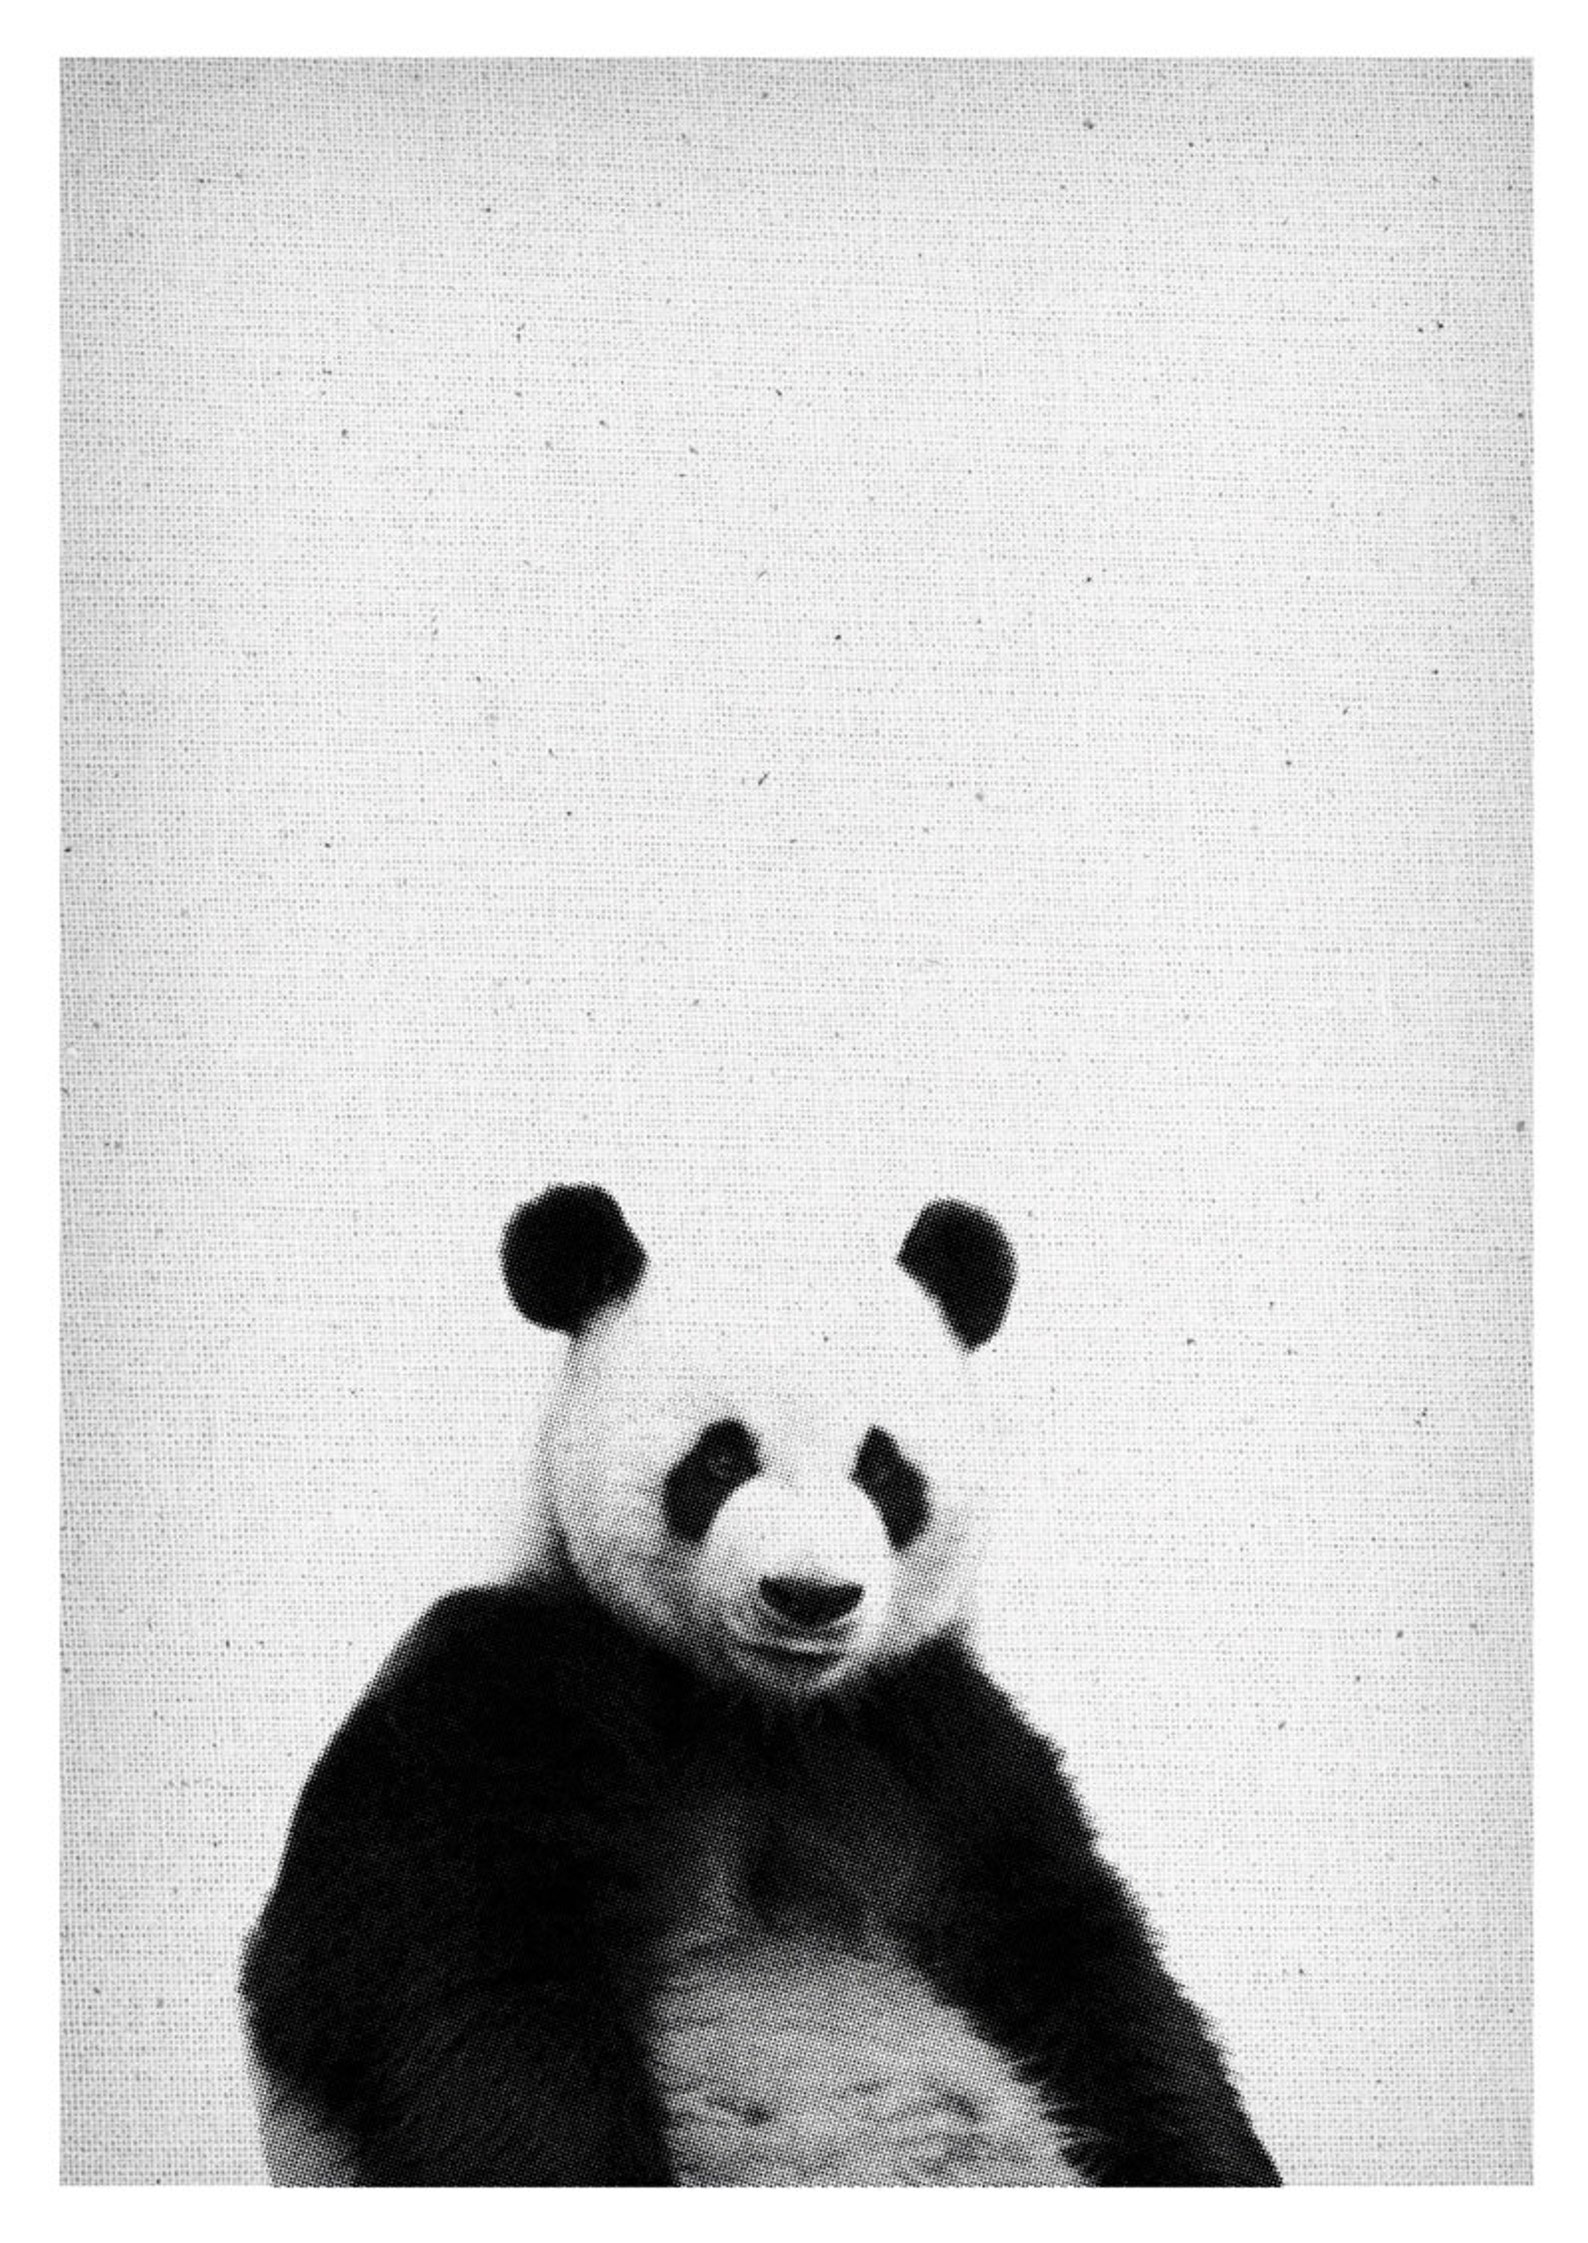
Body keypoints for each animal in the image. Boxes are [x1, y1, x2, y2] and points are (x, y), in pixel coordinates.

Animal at [241, 1184, 1280, 2188]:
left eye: (882, 1467)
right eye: (721, 1457)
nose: (809, 1596)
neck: (759, 1711)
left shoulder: (933, 1738)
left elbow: (1082, 1964)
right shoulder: (502, 1687)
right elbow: (468, 1972)